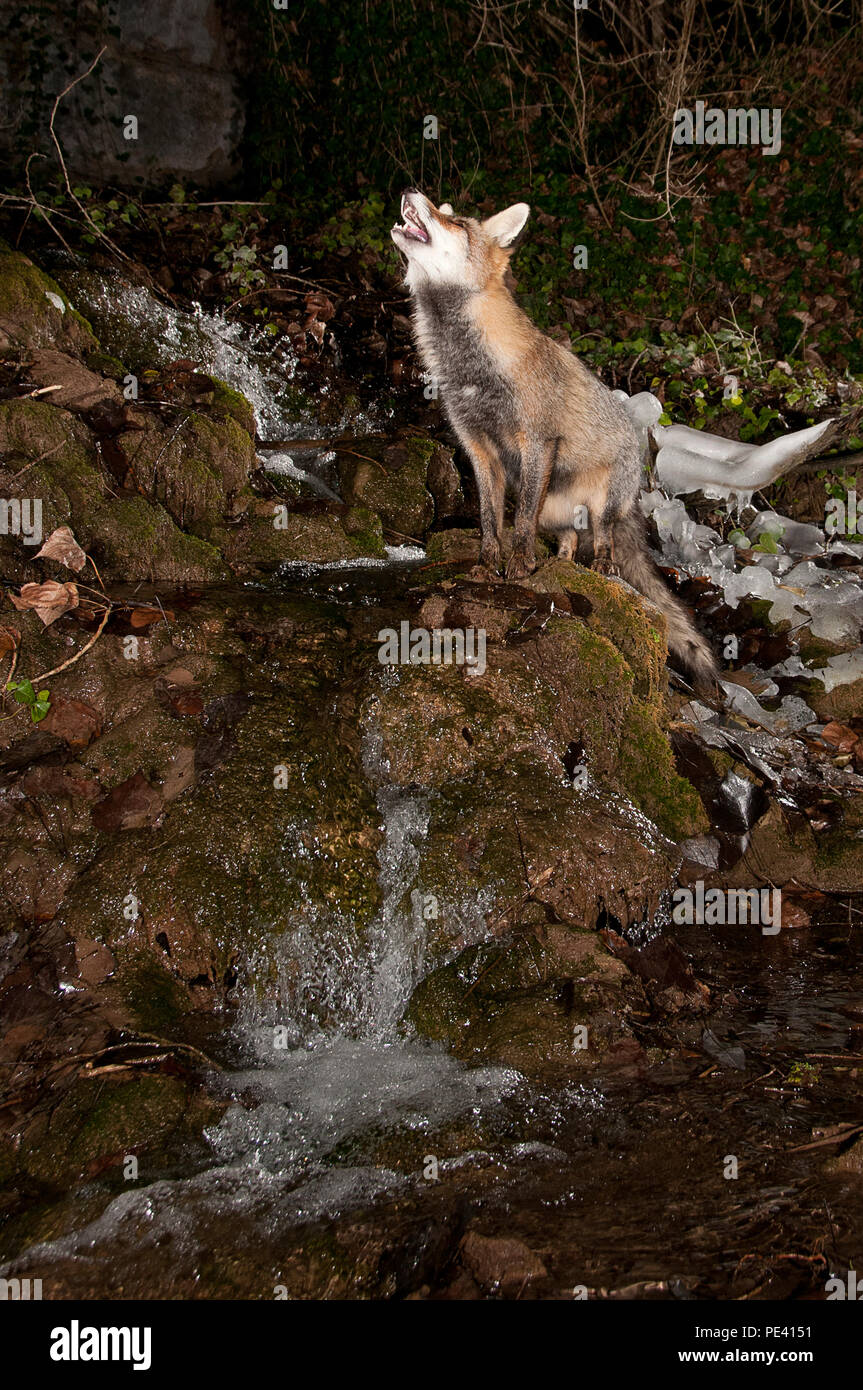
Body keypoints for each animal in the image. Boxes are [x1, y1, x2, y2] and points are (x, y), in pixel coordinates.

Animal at [391, 189, 717, 691]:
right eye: (444, 212)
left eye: (456, 223)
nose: (411, 192)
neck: (471, 372)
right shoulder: (478, 448)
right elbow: (489, 519)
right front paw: (488, 566)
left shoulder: (537, 443)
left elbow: (520, 520)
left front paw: (521, 567)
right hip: (559, 514)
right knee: (566, 541)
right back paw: (560, 565)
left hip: (605, 503)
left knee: (602, 539)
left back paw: (599, 566)